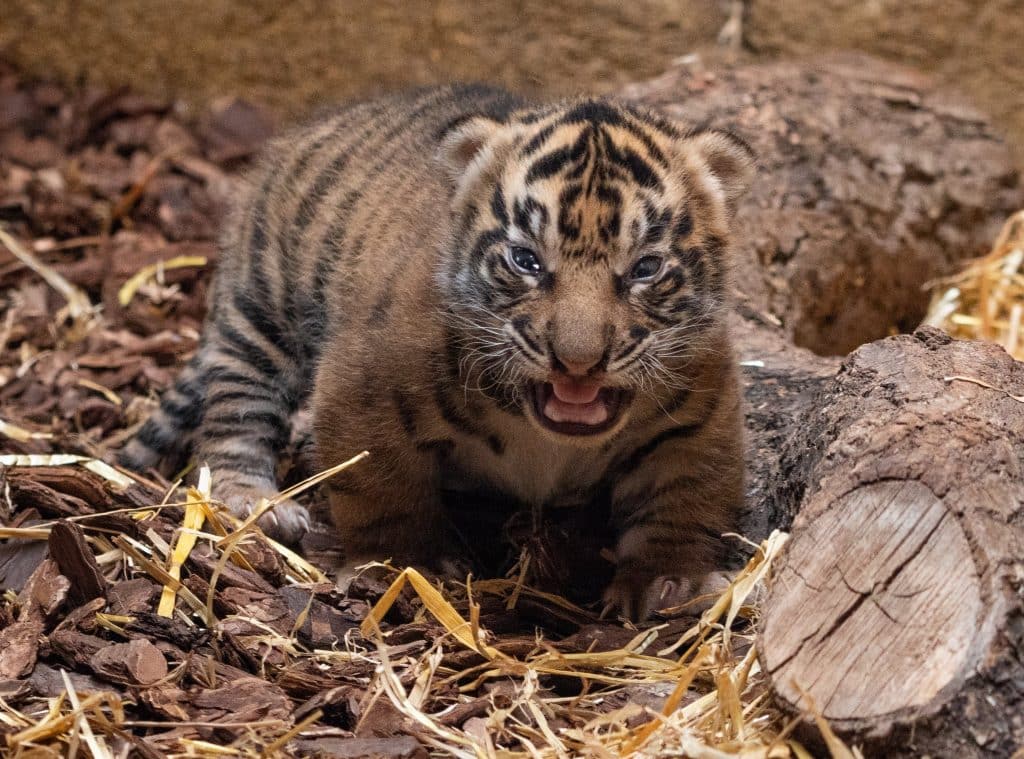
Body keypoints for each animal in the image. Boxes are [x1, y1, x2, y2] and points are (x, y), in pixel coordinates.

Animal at [120, 84, 754, 620]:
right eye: (526, 261)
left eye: (645, 268)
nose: (578, 361)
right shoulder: (363, 390)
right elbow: (383, 492)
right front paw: (403, 568)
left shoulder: (698, 417)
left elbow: (684, 501)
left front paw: (667, 582)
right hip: (264, 305)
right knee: (236, 401)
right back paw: (255, 500)